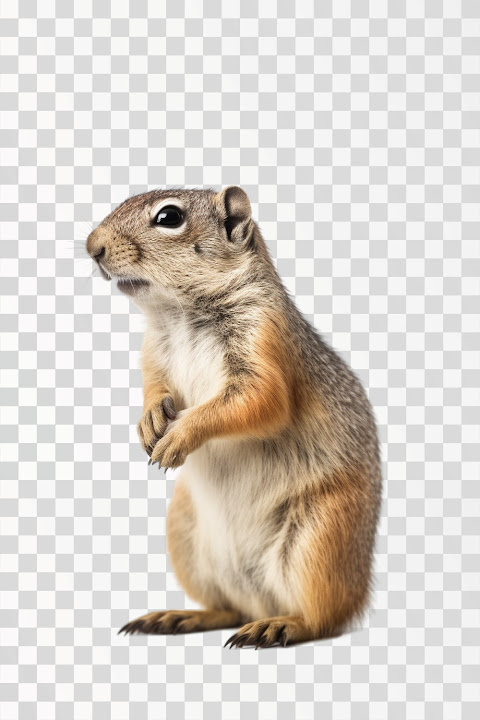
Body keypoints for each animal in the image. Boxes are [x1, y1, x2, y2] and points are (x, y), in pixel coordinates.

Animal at [86, 186, 382, 648]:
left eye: (169, 217)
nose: (91, 246)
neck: (181, 314)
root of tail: (263, 603)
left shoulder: (265, 345)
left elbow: (255, 401)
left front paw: (179, 436)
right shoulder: (153, 356)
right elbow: (155, 388)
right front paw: (148, 420)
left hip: (320, 539)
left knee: (323, 618)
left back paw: (282, 625)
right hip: (186, 536)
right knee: (229, 608)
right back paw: (180, 617)